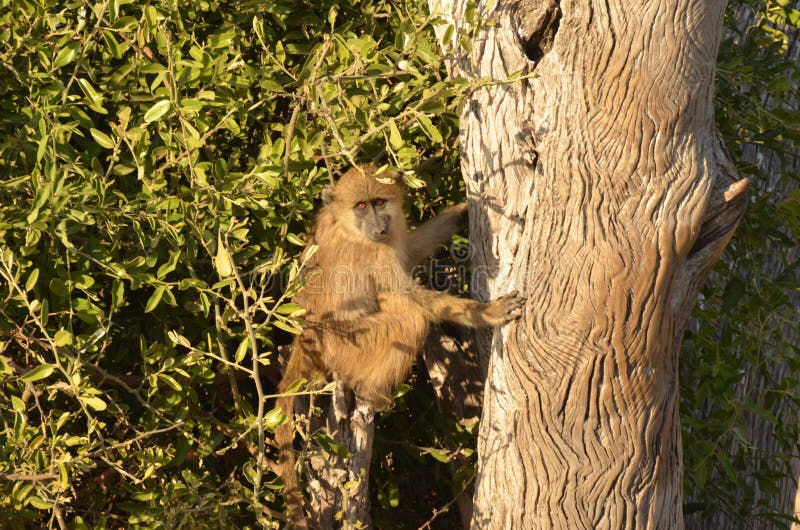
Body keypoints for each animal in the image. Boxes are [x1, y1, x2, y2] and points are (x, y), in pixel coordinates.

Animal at [275, 165, 525, 529]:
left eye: (379, 201)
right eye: (361, 206)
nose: (380, 226)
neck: (348, 225)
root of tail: (307, 337)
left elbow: (410, 252)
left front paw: (461, 211)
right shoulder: (374, 252)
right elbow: (410, 298)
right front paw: (488, 312)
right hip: (349, 346)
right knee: (410, 317)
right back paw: (373, 394)